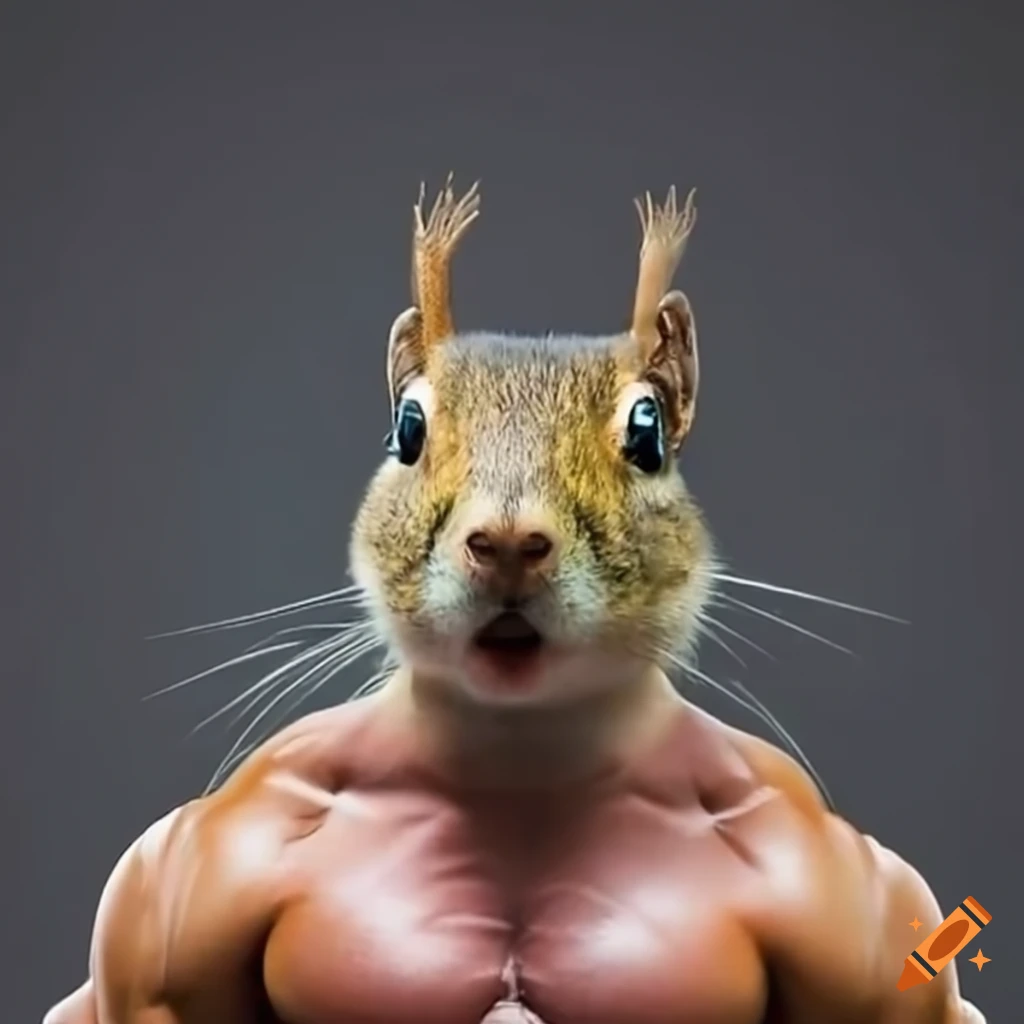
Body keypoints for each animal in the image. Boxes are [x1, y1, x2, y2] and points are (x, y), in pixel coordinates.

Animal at [44, 177, 986, 1024]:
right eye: (408, 428)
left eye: (647, 432)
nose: (504, 543)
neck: (523, 756)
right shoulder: (189, 881)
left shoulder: (835, 888)